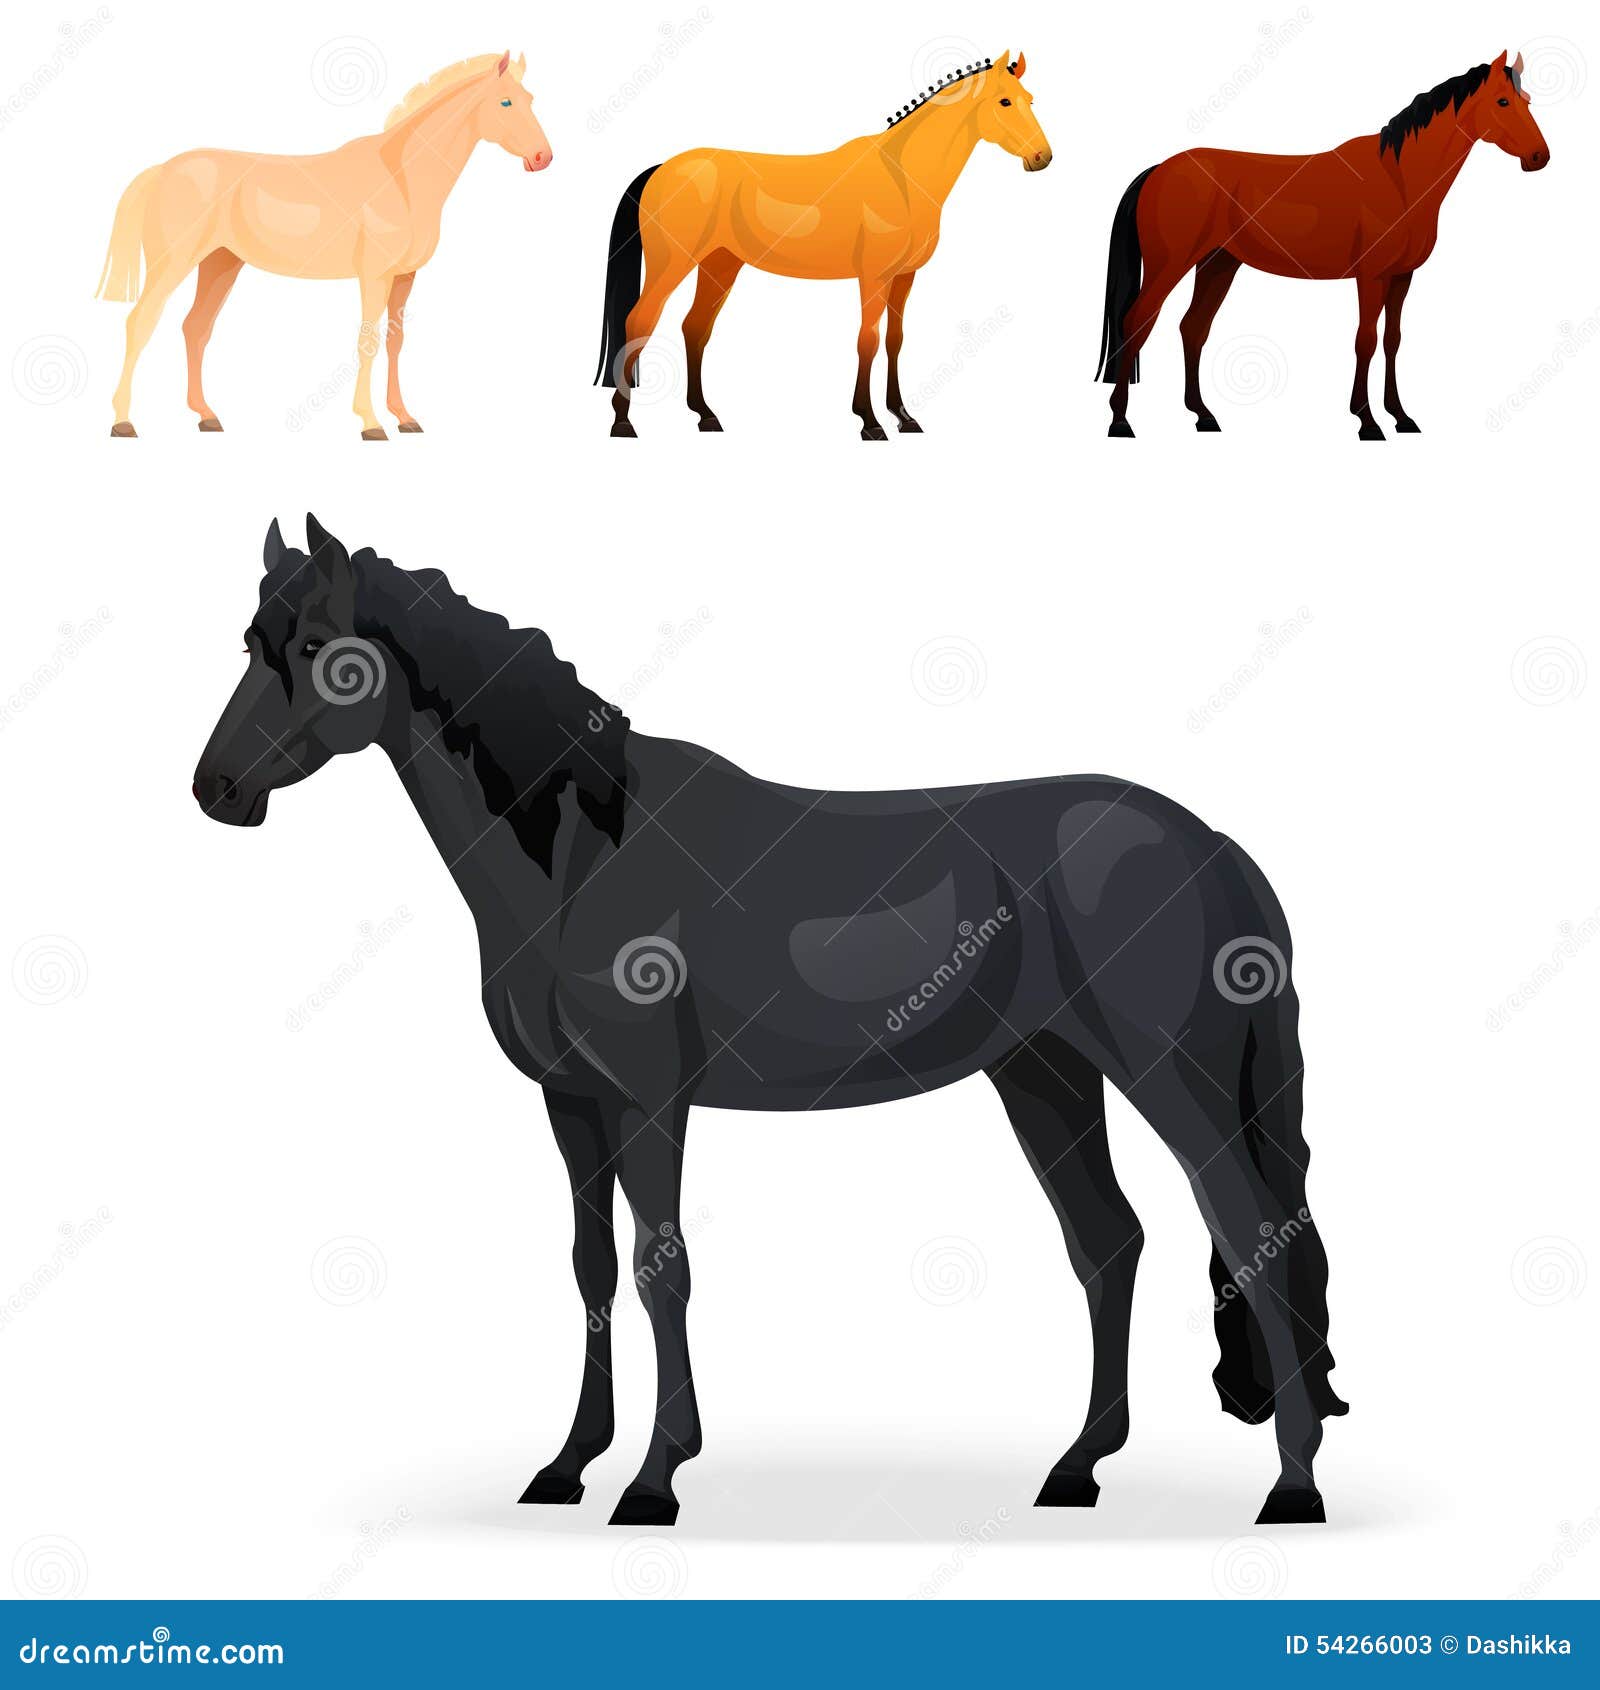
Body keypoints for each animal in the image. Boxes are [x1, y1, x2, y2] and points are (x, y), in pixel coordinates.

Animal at [95, 52, 551, 440]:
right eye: (506, 102)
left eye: (530, 99)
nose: (542, 158)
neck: (401, 176)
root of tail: (162, 170)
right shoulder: (375, 276)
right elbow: (368, 341)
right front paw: (371, 424)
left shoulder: (405, 277)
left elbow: (396, 341)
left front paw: (405, 418)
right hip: (173, 264)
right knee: (140, 323)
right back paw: (123, 422)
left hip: (220, 264)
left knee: (195, 328)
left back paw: (206, 416)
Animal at [194, 517, 1346, 1529]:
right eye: (250, 643)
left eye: (314, 649)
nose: (216, 789)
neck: (583, 852)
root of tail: (1210, 845)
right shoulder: (571, 1103)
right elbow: (590, 1266)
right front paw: (567, 1465)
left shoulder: (650, 1100)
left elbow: (660, 1266)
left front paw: (654, 1479)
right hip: (1044, 1075)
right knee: (1107, 1244)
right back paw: (1077, 1468)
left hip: (1173, 1080)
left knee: (1253, 1234)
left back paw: (1291, 1483)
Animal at [594, 49, 1052, 440]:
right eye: (1005, 102)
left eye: (1029, 99)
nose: (1042, 158)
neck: (902, 177)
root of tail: (663, 168)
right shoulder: (874, 277)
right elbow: (868, 340)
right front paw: (870, 421)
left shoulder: (904, 277)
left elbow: (895, 340)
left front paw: (904, 417)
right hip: (673, 264)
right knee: (639, 321)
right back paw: (622, 422)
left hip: (720, 265)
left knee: (695, 328)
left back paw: (706, 416)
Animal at [1096, 50, 1550, 439]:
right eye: (1503, 101)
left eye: (1526, 99)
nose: (1539, 157)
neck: (1400, 180)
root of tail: (1160, 169)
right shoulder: (1371, 276)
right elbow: (1365, 340)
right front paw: (1368, 422)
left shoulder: (1402, 277)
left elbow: (1393, 340)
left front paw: (1401, 417)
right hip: (1170, 266)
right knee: (1136, 323)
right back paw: (1120, 421)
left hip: (1218, 264)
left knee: (1193, 329)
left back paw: (1203, 416)